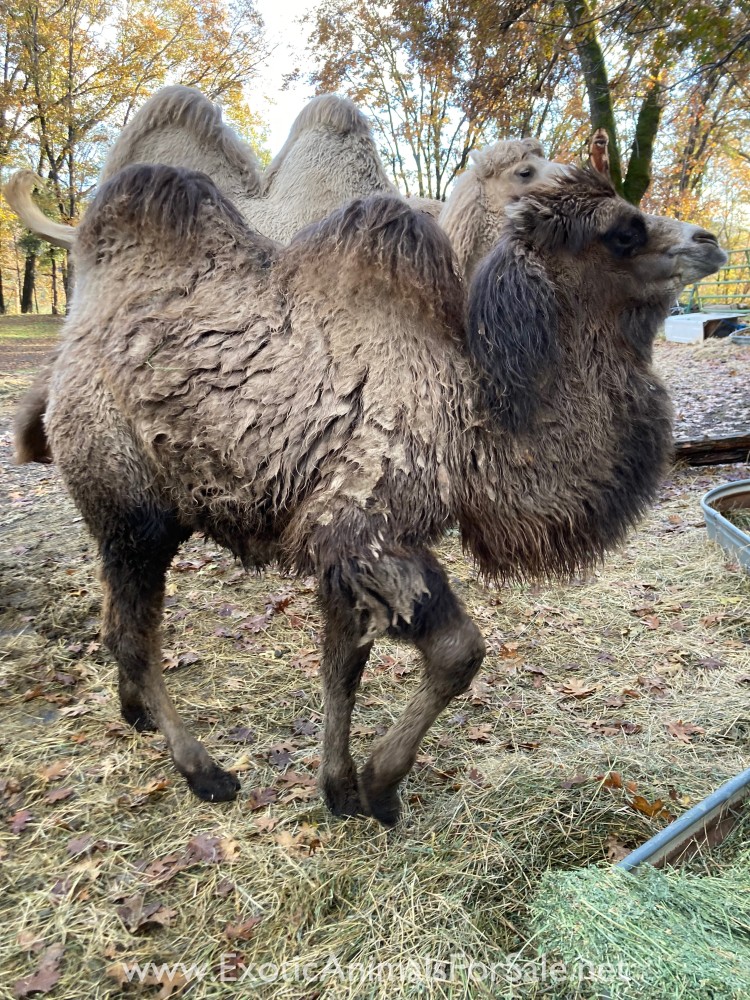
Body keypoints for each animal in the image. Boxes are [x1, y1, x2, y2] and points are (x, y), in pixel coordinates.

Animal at [41, 161, 725, 824]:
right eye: (622, 233)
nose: (711, 240)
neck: (469, 412)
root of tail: (76, 335)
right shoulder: (364, 528)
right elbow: (457, 653)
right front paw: (380, 786)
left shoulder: (345, 546)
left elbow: (343, 666)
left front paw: (338, 789)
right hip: (131, 510)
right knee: (135, 636)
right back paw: (203, 772)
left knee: (119, 623)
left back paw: (135, 714)